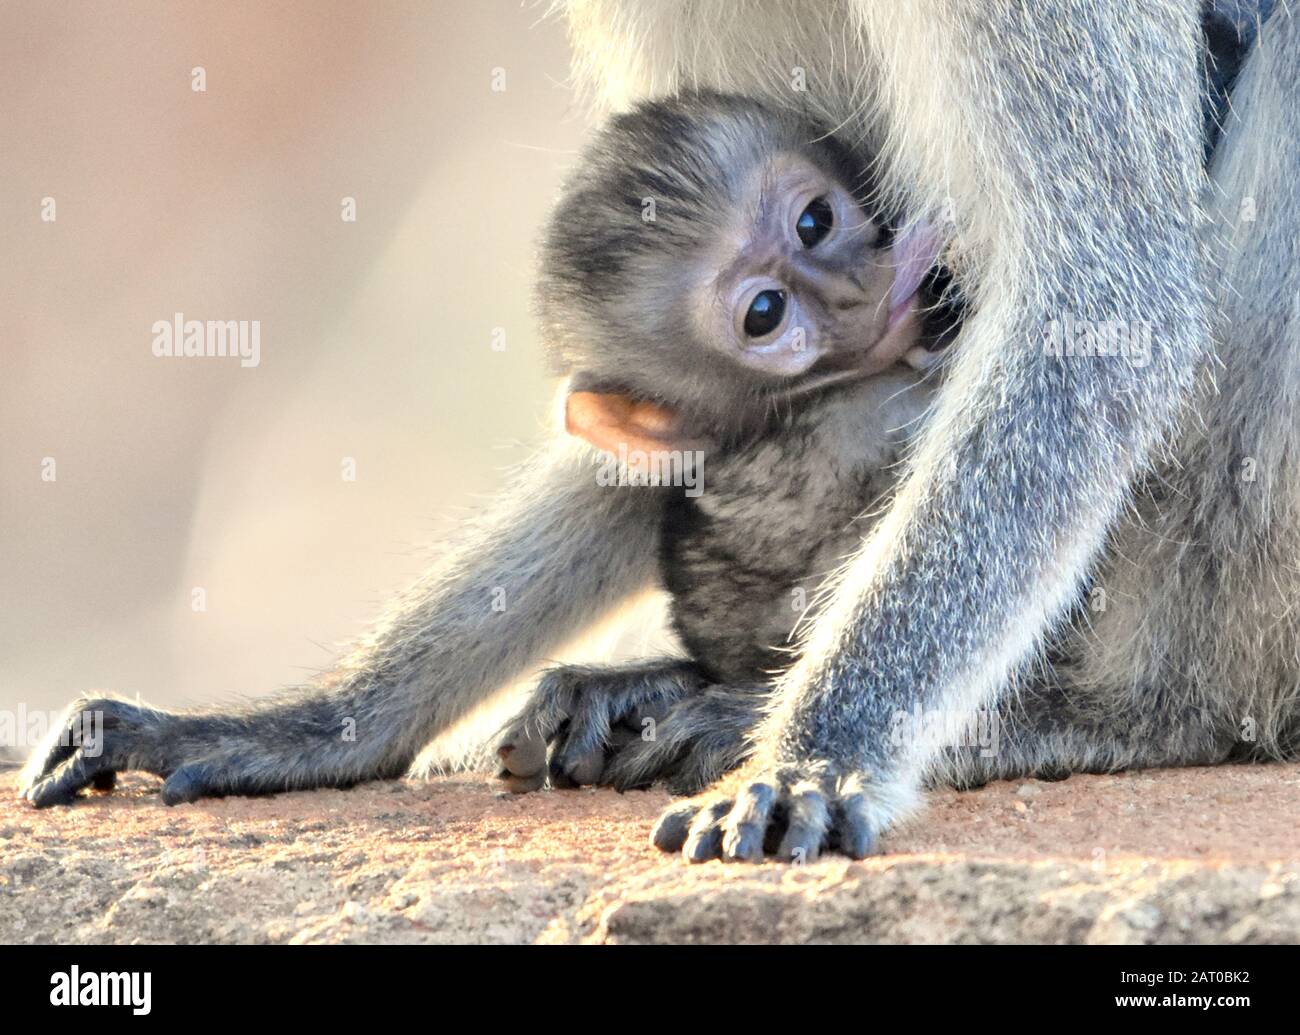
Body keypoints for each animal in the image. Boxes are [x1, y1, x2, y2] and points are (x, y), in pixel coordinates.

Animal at [21, 1, 1299, 869]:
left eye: (818, 224)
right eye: (764, 308)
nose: (867, 289)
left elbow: (1103, 310)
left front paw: (813, 749)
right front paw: (331, 721)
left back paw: (1136, 712)